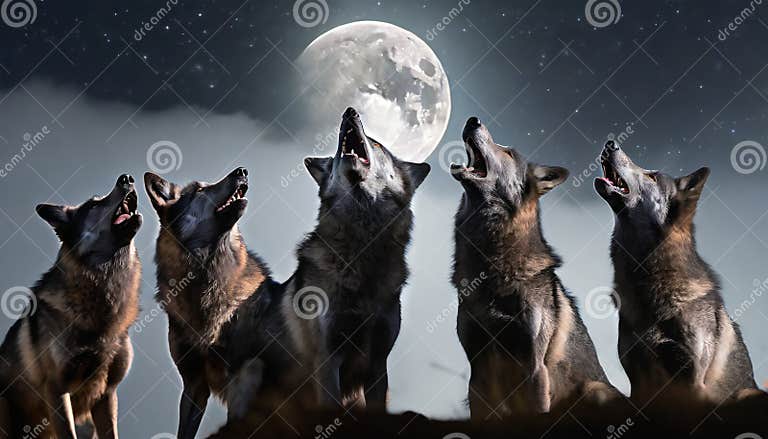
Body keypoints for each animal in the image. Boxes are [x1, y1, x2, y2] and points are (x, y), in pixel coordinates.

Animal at [452, 117, 619, 420]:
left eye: (508, 152)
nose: (473, 120)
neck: (494, 269)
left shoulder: (535, 367)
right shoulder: (477, 374)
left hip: (594, 390)